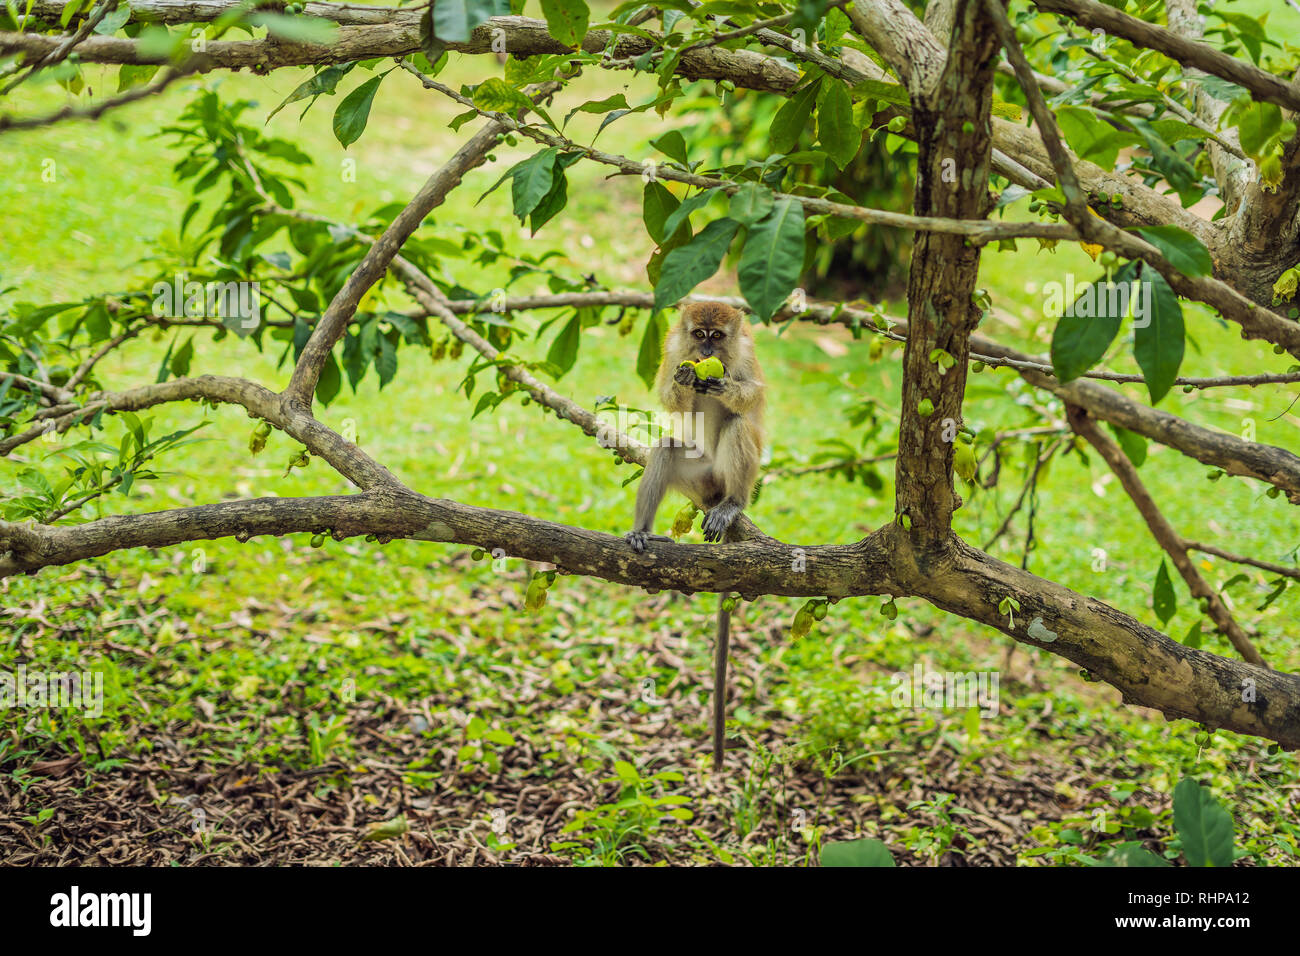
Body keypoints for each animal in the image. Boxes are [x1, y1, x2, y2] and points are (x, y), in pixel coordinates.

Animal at [624, 300, 765, 771]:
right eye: (698, 334)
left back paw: (733, 504)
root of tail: (715, 491)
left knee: (739, 424)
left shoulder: (745, 353)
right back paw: (643, 534)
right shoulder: (672, 350)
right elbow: (670, 396)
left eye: (717, 336)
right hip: (700, 479)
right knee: (668, 448)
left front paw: (720, 383)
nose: (705, 351)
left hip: (724, 477)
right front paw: (686, 381)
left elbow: (751, 395)